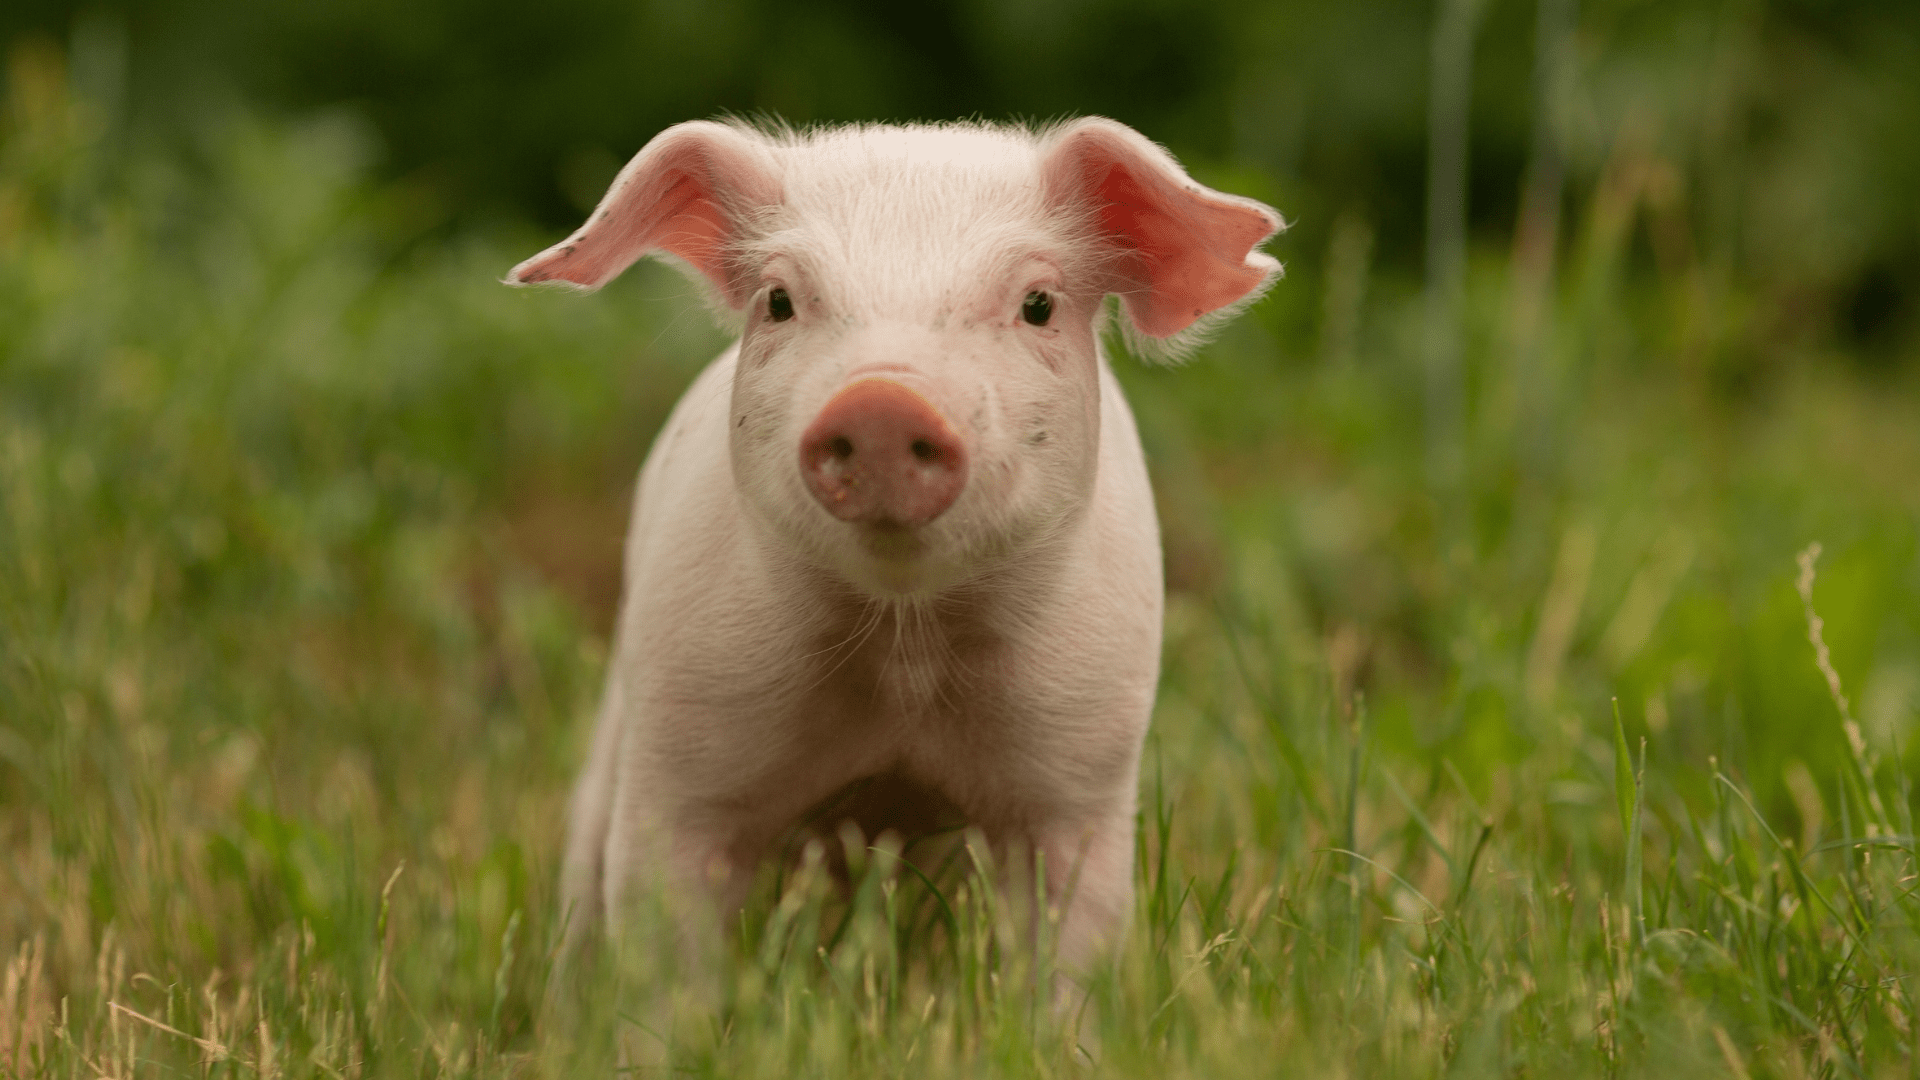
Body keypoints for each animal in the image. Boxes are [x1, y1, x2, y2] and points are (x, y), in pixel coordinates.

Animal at [506, 117, 1281, 979]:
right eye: (779, 301)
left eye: (1038, 305)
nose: (881, 401)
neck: (905, 654)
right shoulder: (682, 748)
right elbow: (665, 945)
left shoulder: (1085, 773)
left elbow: (1067, 948)